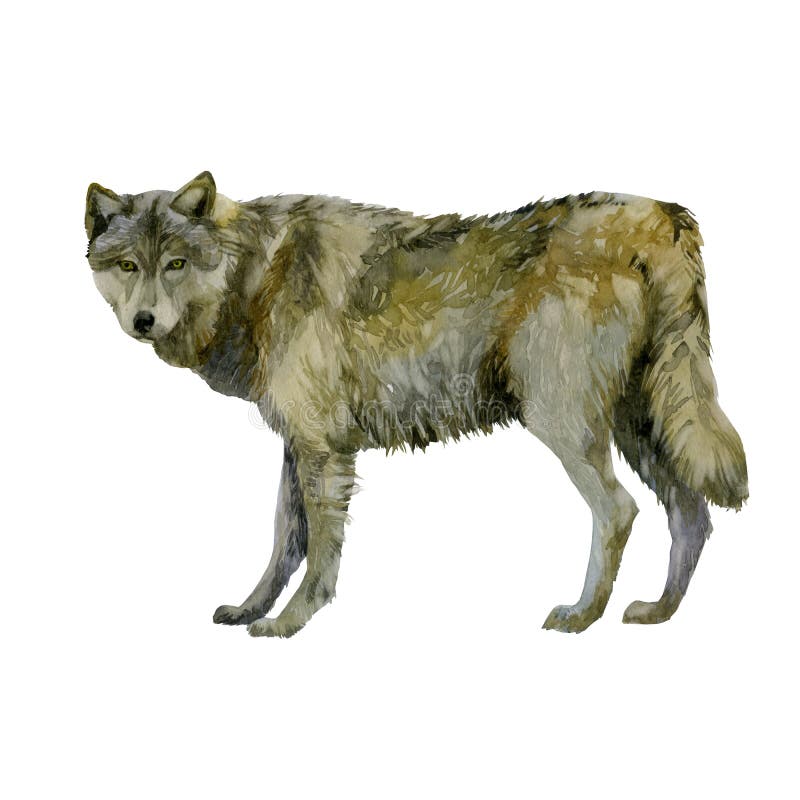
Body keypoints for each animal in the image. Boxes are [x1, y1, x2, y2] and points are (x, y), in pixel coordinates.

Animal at [84, 172, 747, 637]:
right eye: (128, 265)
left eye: (176, 263)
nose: (144, 321)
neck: (255, 274)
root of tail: (661, 214)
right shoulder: (301, 444)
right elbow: (284, 542)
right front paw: (251, 609)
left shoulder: (323, 449)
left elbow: (319, 551)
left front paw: (290, 623)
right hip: (642, 426)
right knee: (691, 512)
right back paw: (659, 611)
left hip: (564, 423)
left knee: (619, 510)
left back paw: (583, 615)